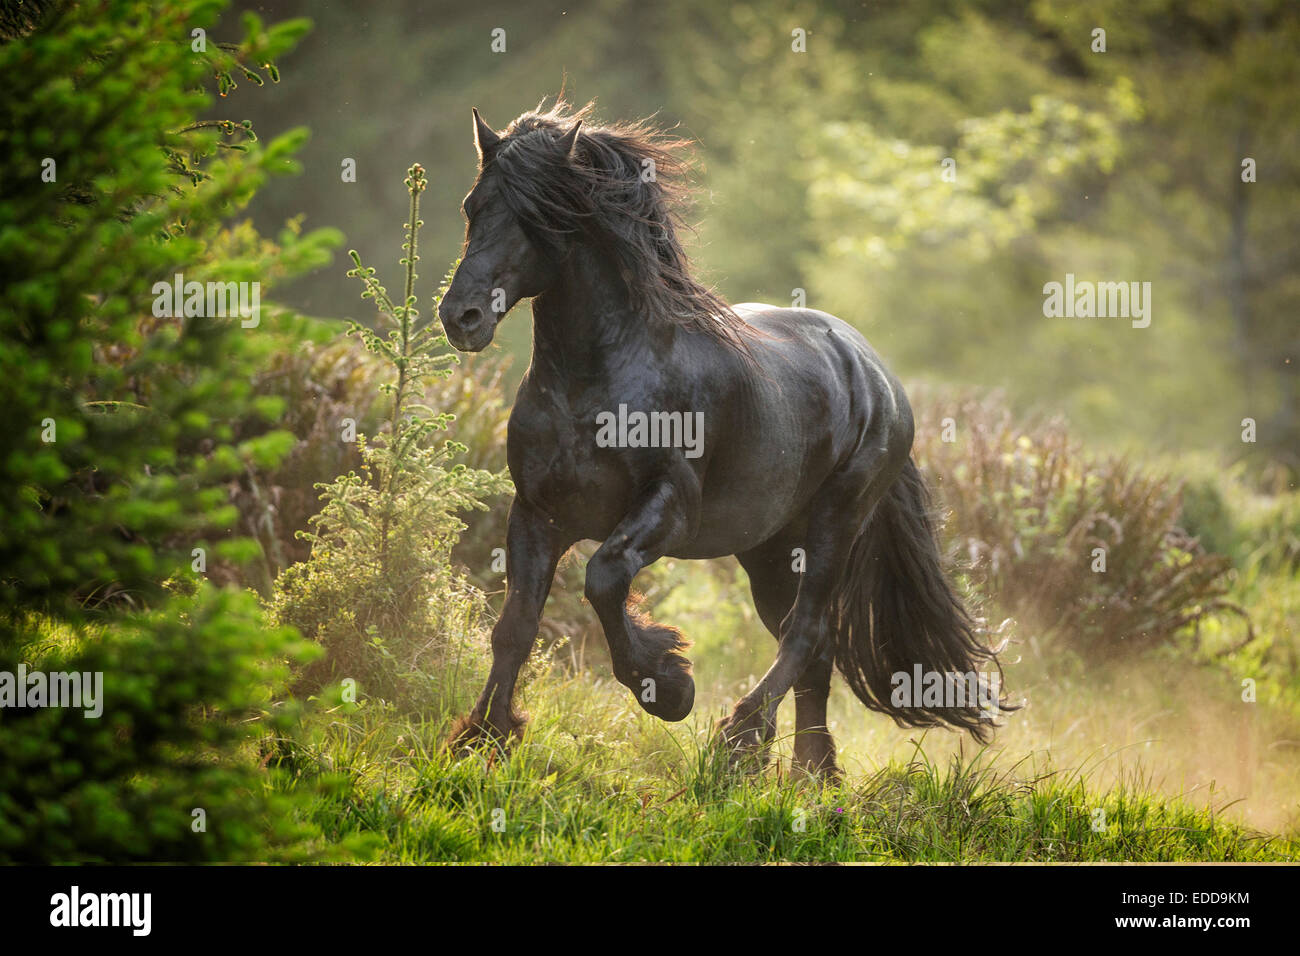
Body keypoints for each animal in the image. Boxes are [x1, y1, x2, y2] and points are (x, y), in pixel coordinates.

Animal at [438, 100, 1013, 775]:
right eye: (473, 206)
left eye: (540, 217)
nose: (461, 316)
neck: (594, 379)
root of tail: (876, 372)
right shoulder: (536, 513)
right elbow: (516, 626)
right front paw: (482, 739)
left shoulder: (670, 508)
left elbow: (604, 577)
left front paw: (669, 684)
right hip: (770, 549)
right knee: (812, 650)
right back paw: (811, 775)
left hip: (836, 524)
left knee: (807, 632)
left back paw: (740, 738)